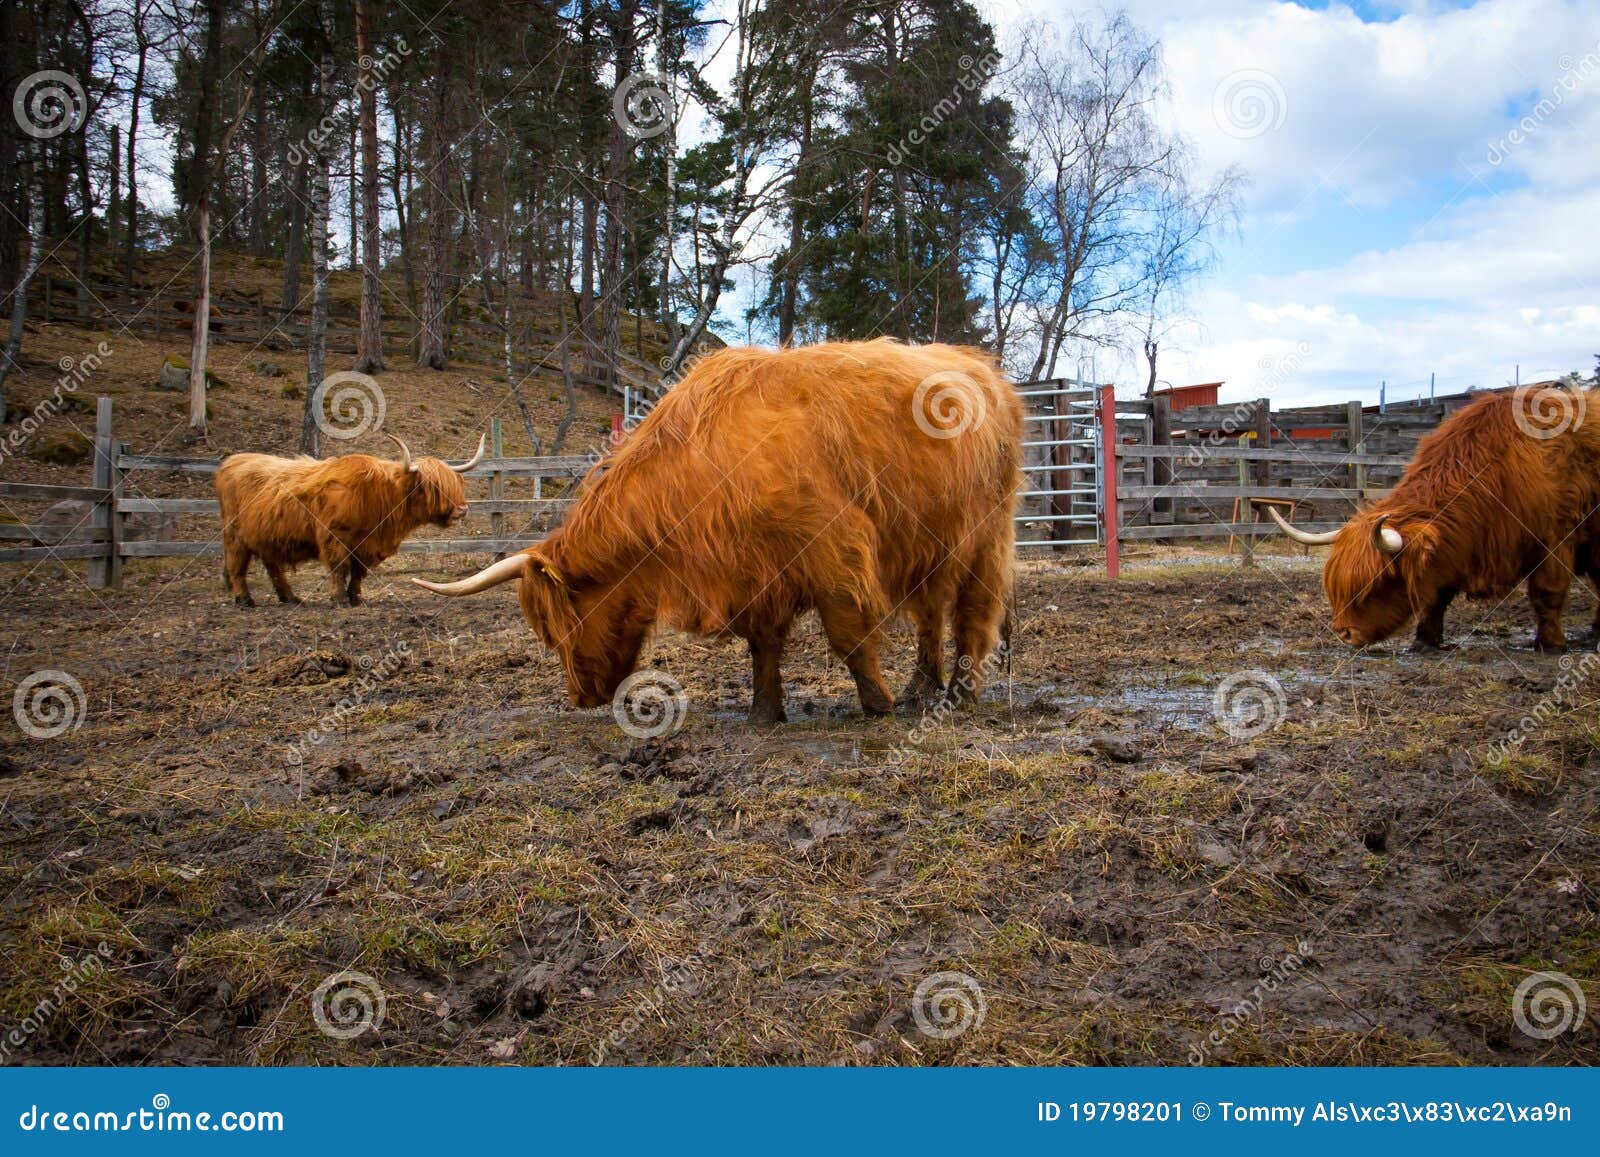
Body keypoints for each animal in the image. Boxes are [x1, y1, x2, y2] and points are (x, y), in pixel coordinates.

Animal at [216, 433, 486, 608]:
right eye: (432, 487)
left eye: (456, 484)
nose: (462, 509)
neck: (379, 496)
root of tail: (232, 461)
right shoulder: (335, 537)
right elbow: (341, 568)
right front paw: (338, 599)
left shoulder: (366, 544)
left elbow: (358, 571)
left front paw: (356, 597)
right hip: (234, 535)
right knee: (236, 566)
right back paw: (244, 600)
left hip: (266, 537)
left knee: (272, 565)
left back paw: (290, 598)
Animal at [412, 339, 1024, 723]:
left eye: (558, 630)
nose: (581, 697)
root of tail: (981, 366)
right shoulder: (757, 571)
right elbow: (763, 644)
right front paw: (764, 712)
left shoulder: (835, 548)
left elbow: (848, 633)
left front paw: (877, 704)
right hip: (929, 544)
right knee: (930, 613)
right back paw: (924, 688)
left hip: (986, 533)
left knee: (974, 611)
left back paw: (960, 693)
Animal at [1269, 386, 1600, 651]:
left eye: (1374, 584)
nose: (1344, 633)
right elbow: (1436, 594)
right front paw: (1425, 640)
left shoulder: (1556, 538)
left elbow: (1547, 592)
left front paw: (1551, 643)